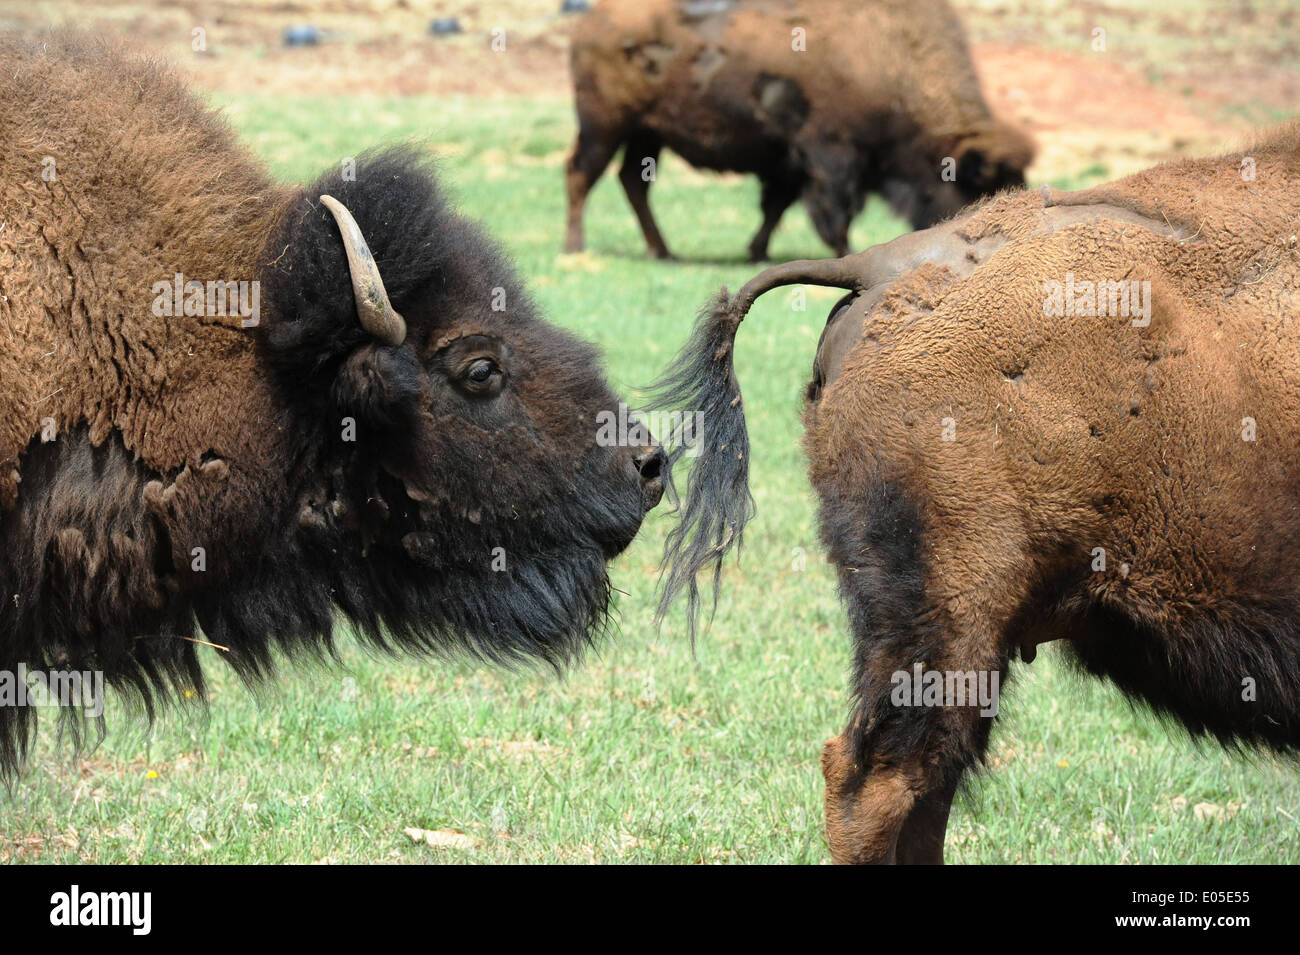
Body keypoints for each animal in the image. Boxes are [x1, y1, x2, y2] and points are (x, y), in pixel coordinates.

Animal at [564, 0, 1034, 261]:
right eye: (978, 188)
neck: (891, 54)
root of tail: (591, 20)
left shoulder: (789, 161)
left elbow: (776, 206)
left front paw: (757, 251)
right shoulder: (830, 153)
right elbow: (832, 210)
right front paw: (846, 251)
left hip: (646, 135)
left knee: (631, 182)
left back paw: (662, 251)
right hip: (604, 127)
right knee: (581, 175)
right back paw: (577, 247)